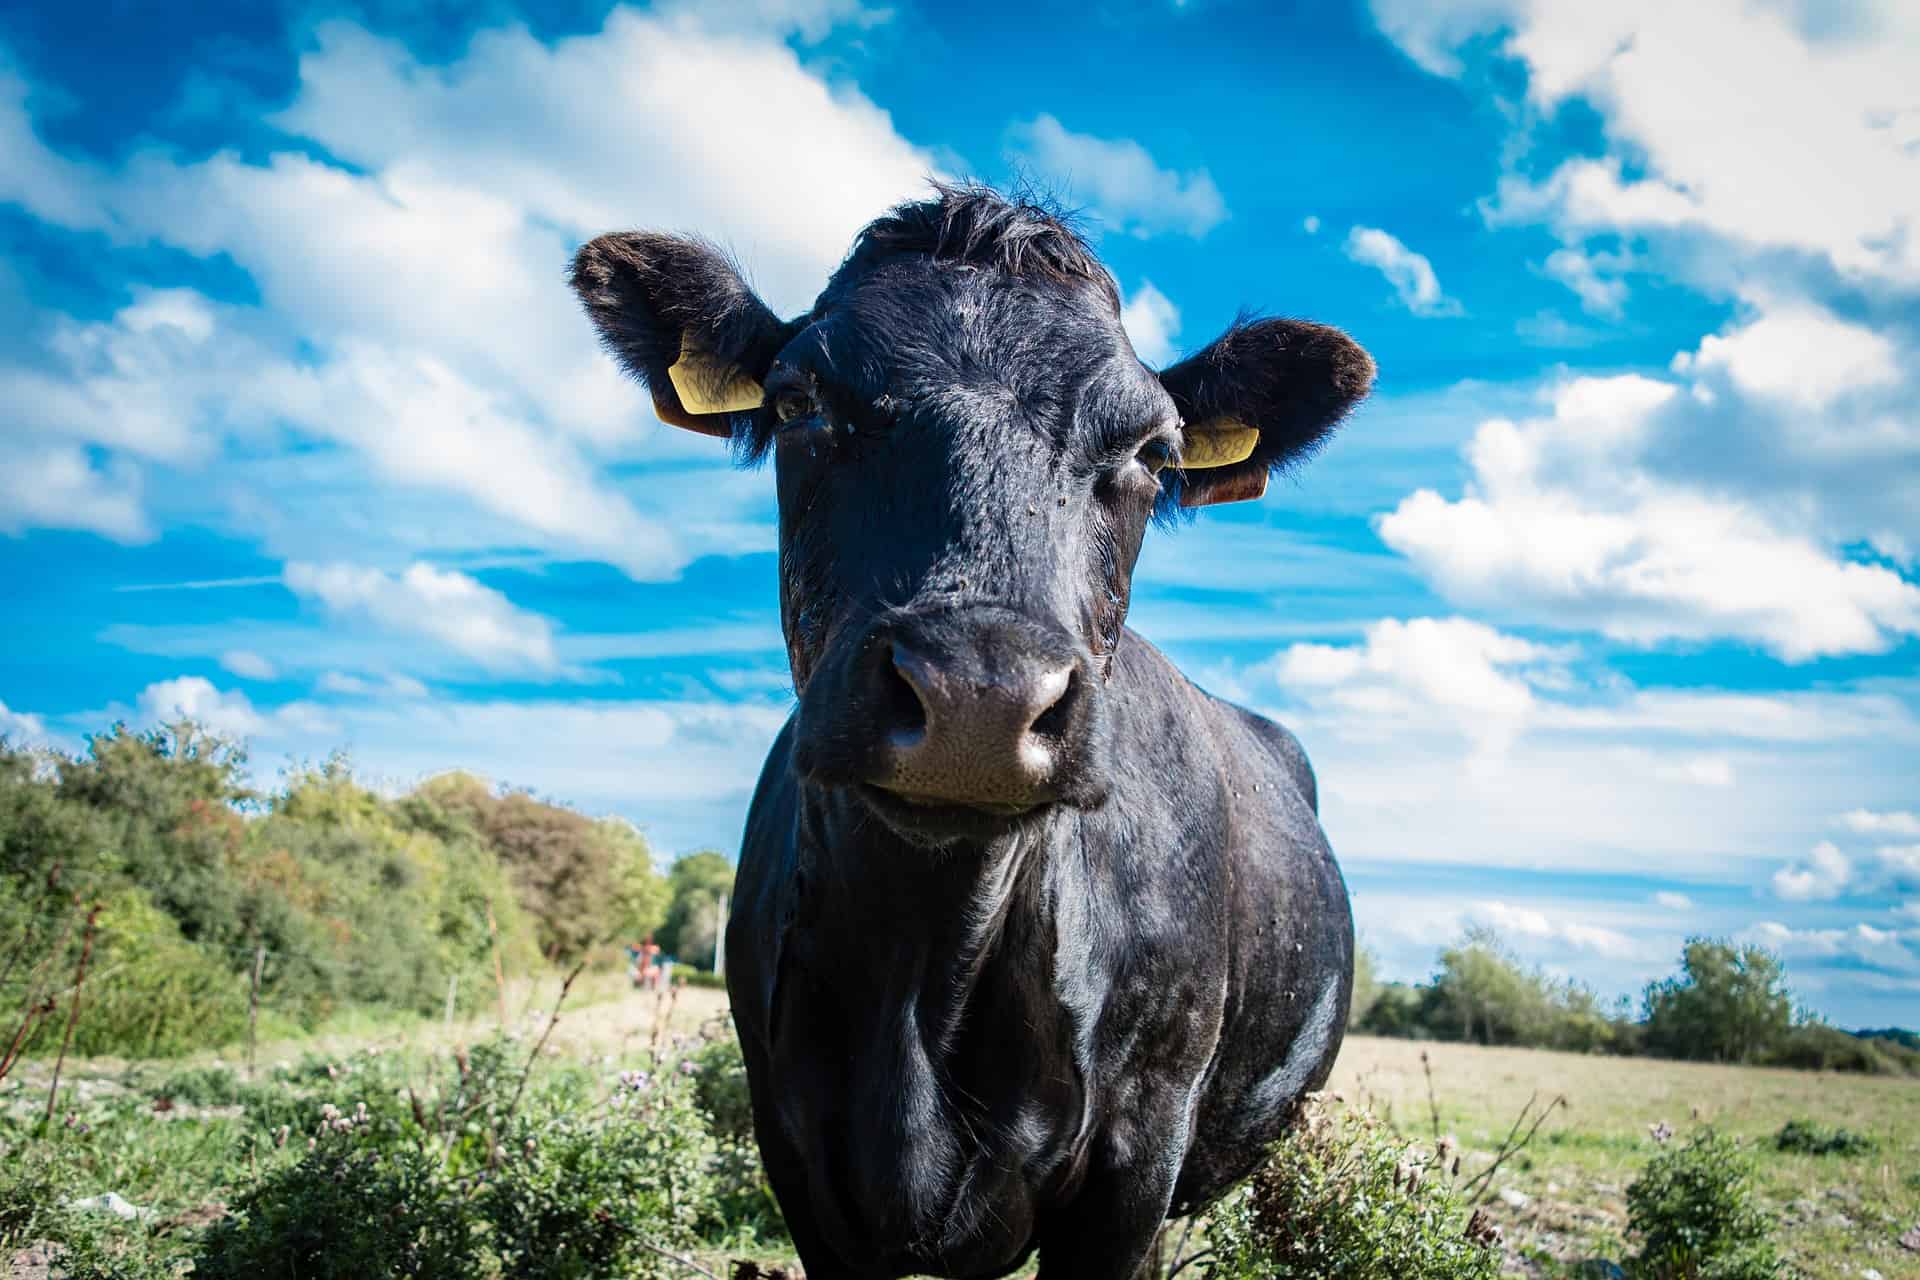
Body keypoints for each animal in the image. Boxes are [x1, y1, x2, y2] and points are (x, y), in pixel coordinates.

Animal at [571, 184, 1371, 1280]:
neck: (933, 962)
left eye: (1153, 451)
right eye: (799, 403)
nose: (979, 694)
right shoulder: (794, 1146)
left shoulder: (1140, 1152)